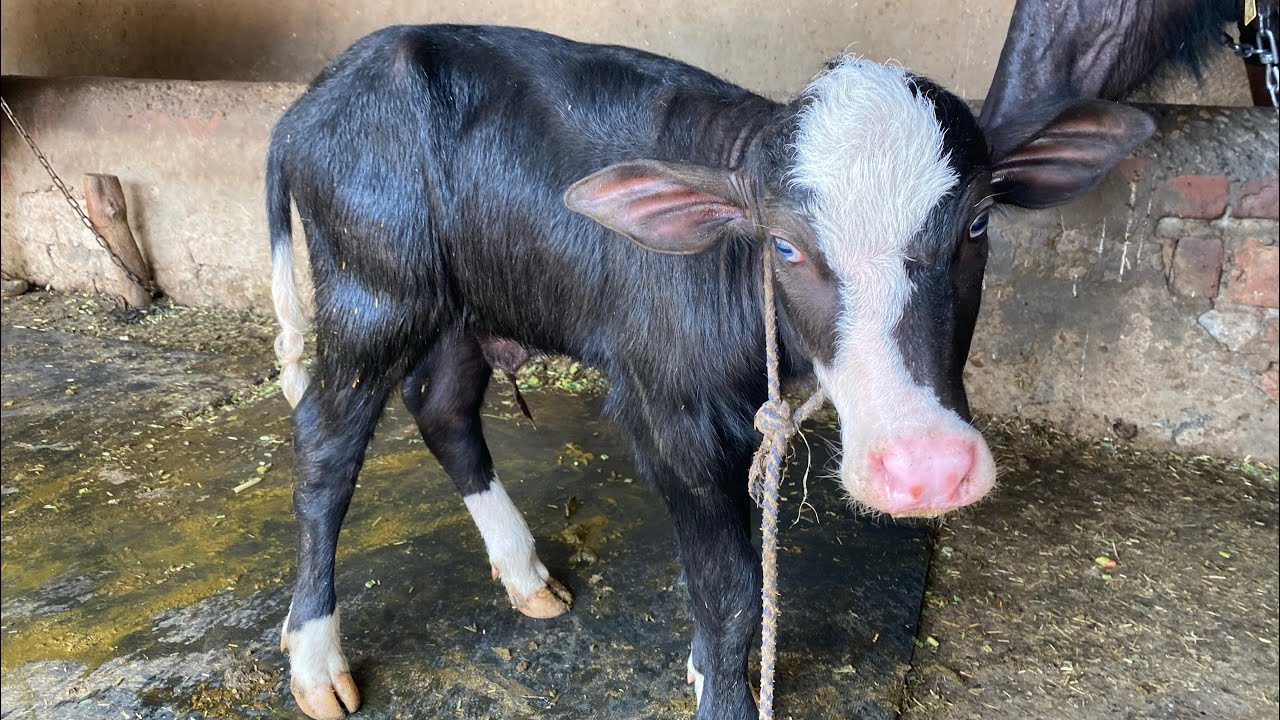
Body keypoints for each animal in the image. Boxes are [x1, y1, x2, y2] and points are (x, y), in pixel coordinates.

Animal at [266, 24, 1152, 720]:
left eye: (977, 223)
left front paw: (703, 666)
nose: (928, 467)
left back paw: (525, 576)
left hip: (461, 301)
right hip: (373, 295)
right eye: (784, 244)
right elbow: (729, 587)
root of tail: (317, 97)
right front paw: (722, 689)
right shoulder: (669, 411)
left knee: (442, 406)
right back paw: (316, 660)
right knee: (325, 449)